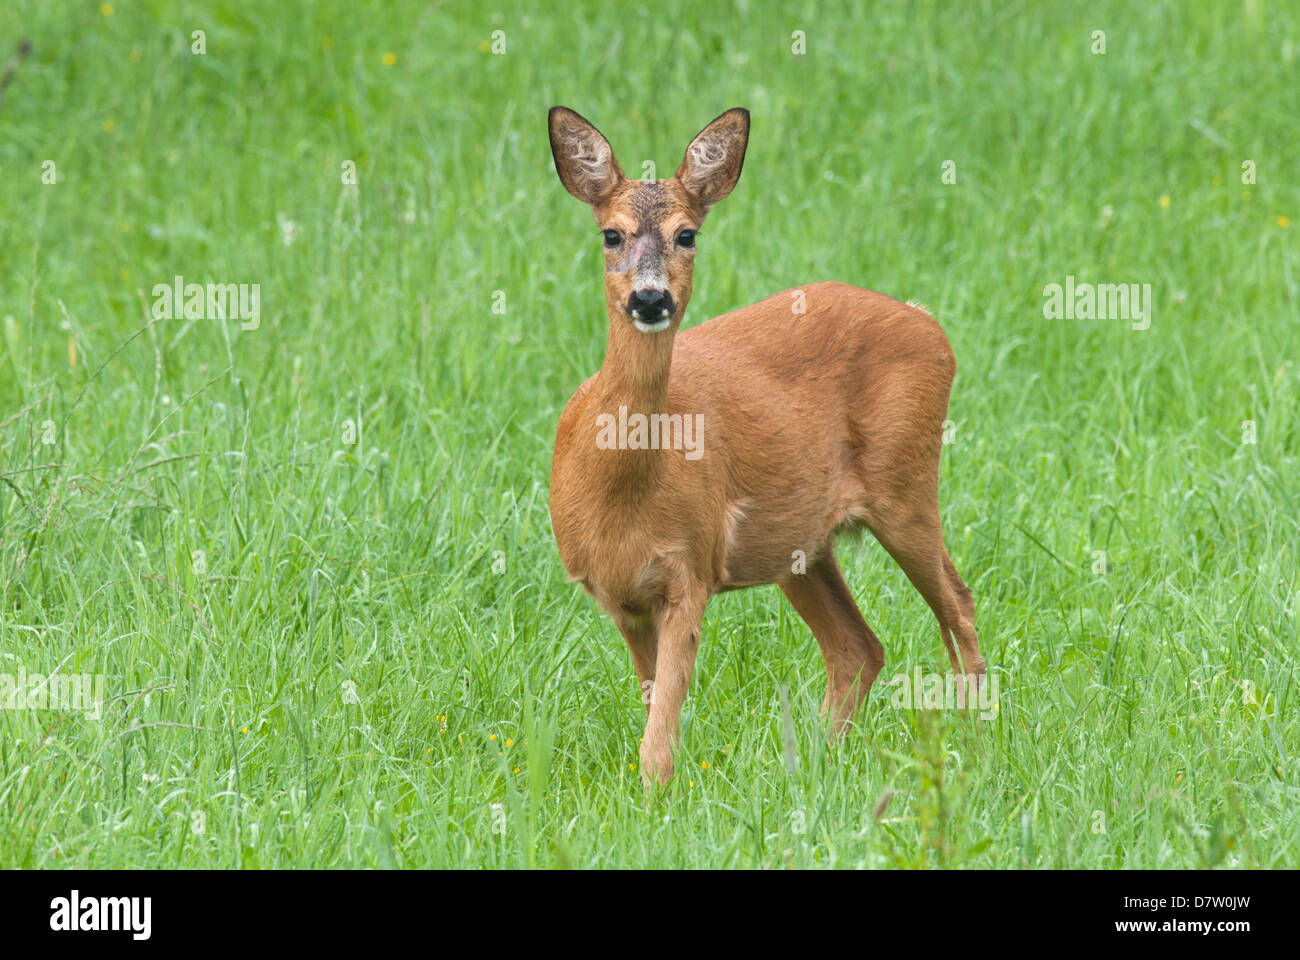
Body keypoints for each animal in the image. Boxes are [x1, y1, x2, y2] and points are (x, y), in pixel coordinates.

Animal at [546, 106, 985, 787]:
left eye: (688, 234)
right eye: (611, 235)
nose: (650, 298)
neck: (619, 490)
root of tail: (929, 323)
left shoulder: (691, 567)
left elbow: (659, 734)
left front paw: (657, 796)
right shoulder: (619, 596)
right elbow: (654, 715)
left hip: (906, 486)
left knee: (958, 608)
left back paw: (972, 750)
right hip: (802, 543)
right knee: (858, 646)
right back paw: (811, 764)